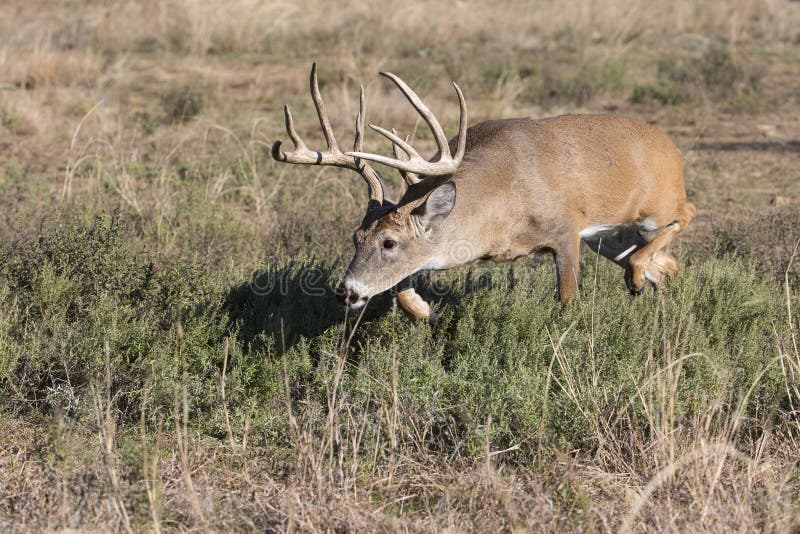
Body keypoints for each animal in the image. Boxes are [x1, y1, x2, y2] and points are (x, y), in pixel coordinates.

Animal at [271, 64, 696, 325]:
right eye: (355, 237)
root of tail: (671, 145)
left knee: (685, 214)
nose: (346, 293)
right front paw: (429, 314)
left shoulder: (566, 230)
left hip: (656, 206)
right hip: (609, 237)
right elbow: (405, 288)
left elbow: (565, 301)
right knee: (665, 262)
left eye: (389, 242)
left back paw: (638, 279)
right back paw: (655, 288)